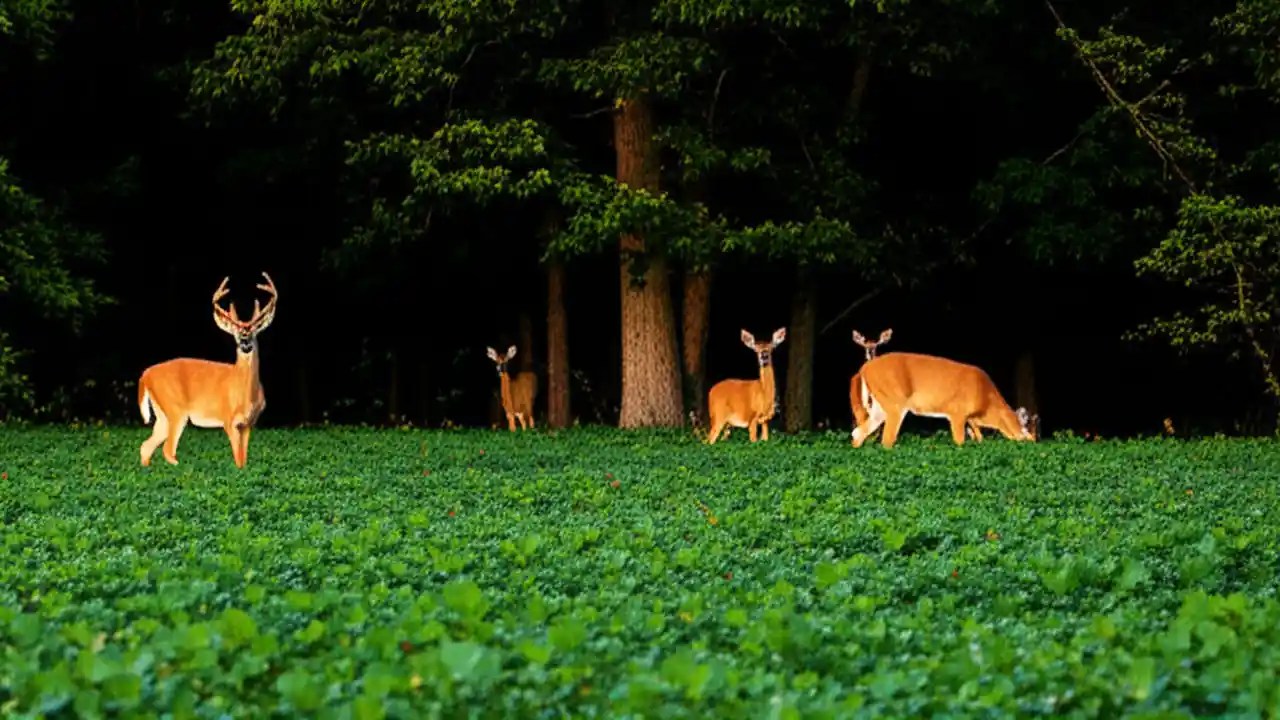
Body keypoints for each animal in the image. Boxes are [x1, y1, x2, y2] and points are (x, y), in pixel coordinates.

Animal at [137, 272, 278, 469]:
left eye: (254, 332)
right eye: (235, 334)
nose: (244, 341)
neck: (245, 395)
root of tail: (145, 374)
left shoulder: (248, 424)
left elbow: (244, 460)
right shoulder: (229, 420)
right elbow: (237, 459)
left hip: (162, 414)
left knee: (146, 446)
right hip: (175, 408)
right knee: (168, 450)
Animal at [850, 351, 1039, 448]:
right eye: (1026, 427)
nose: (1034, 441)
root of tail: (864, 368)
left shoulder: (970, 419)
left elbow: (978, 437)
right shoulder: (957, 412)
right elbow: (960, 440)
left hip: (880, 406)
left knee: (859, 432)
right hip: (895, 402)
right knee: (886, 438)